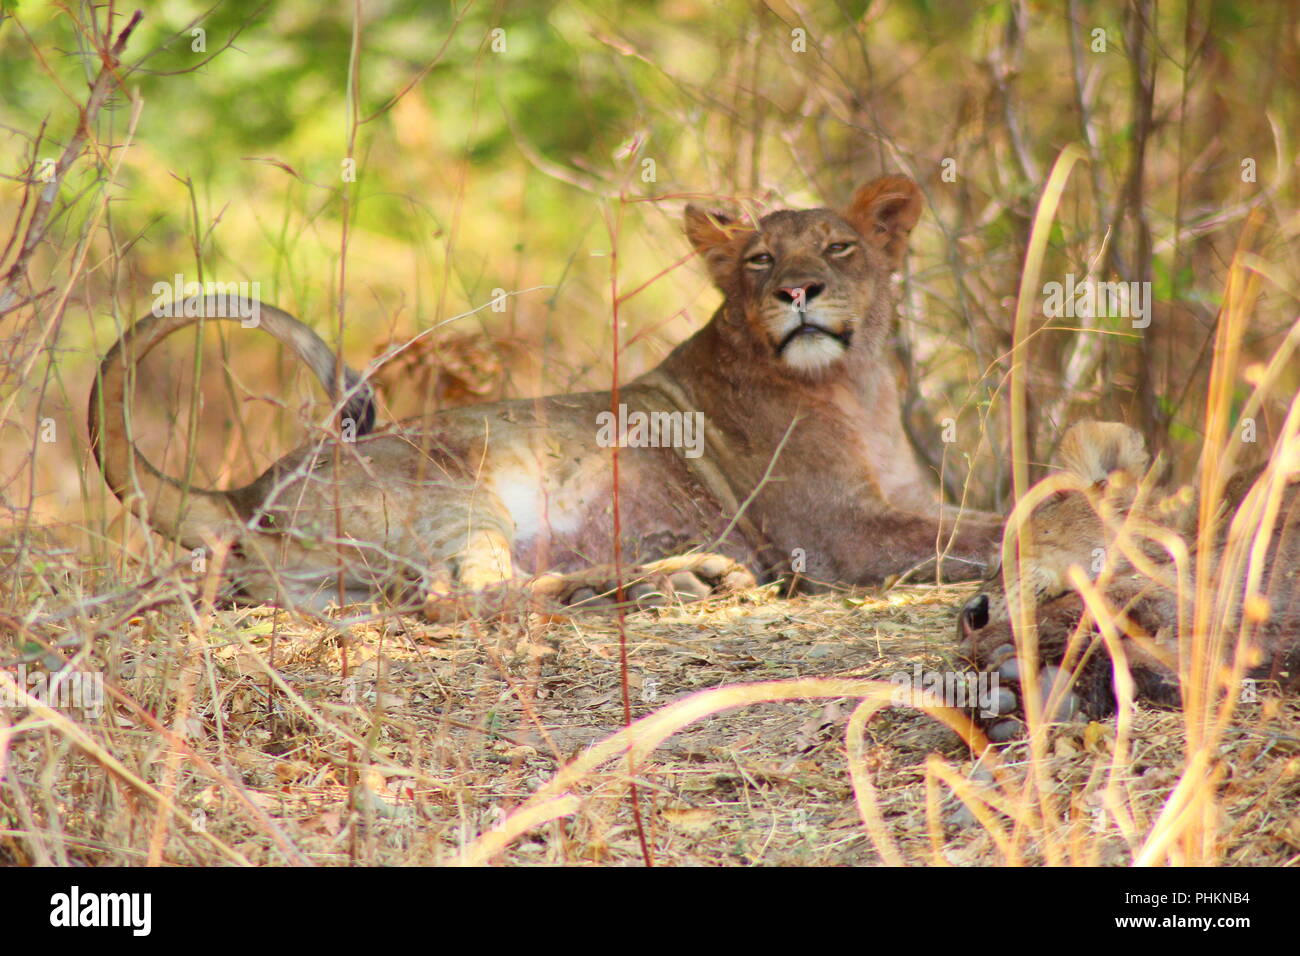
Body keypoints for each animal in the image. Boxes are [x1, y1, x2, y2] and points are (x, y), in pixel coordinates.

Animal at [89, 174, 1001, 615]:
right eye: (759, 261)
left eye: (840, 248)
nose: (799, 292)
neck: (857, 386)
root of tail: (243, 493)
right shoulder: (835, 533)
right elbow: (989, 529)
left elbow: (986, 511)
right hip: (456, 489)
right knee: (464, 598)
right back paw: (671, 584)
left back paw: (687, 577)